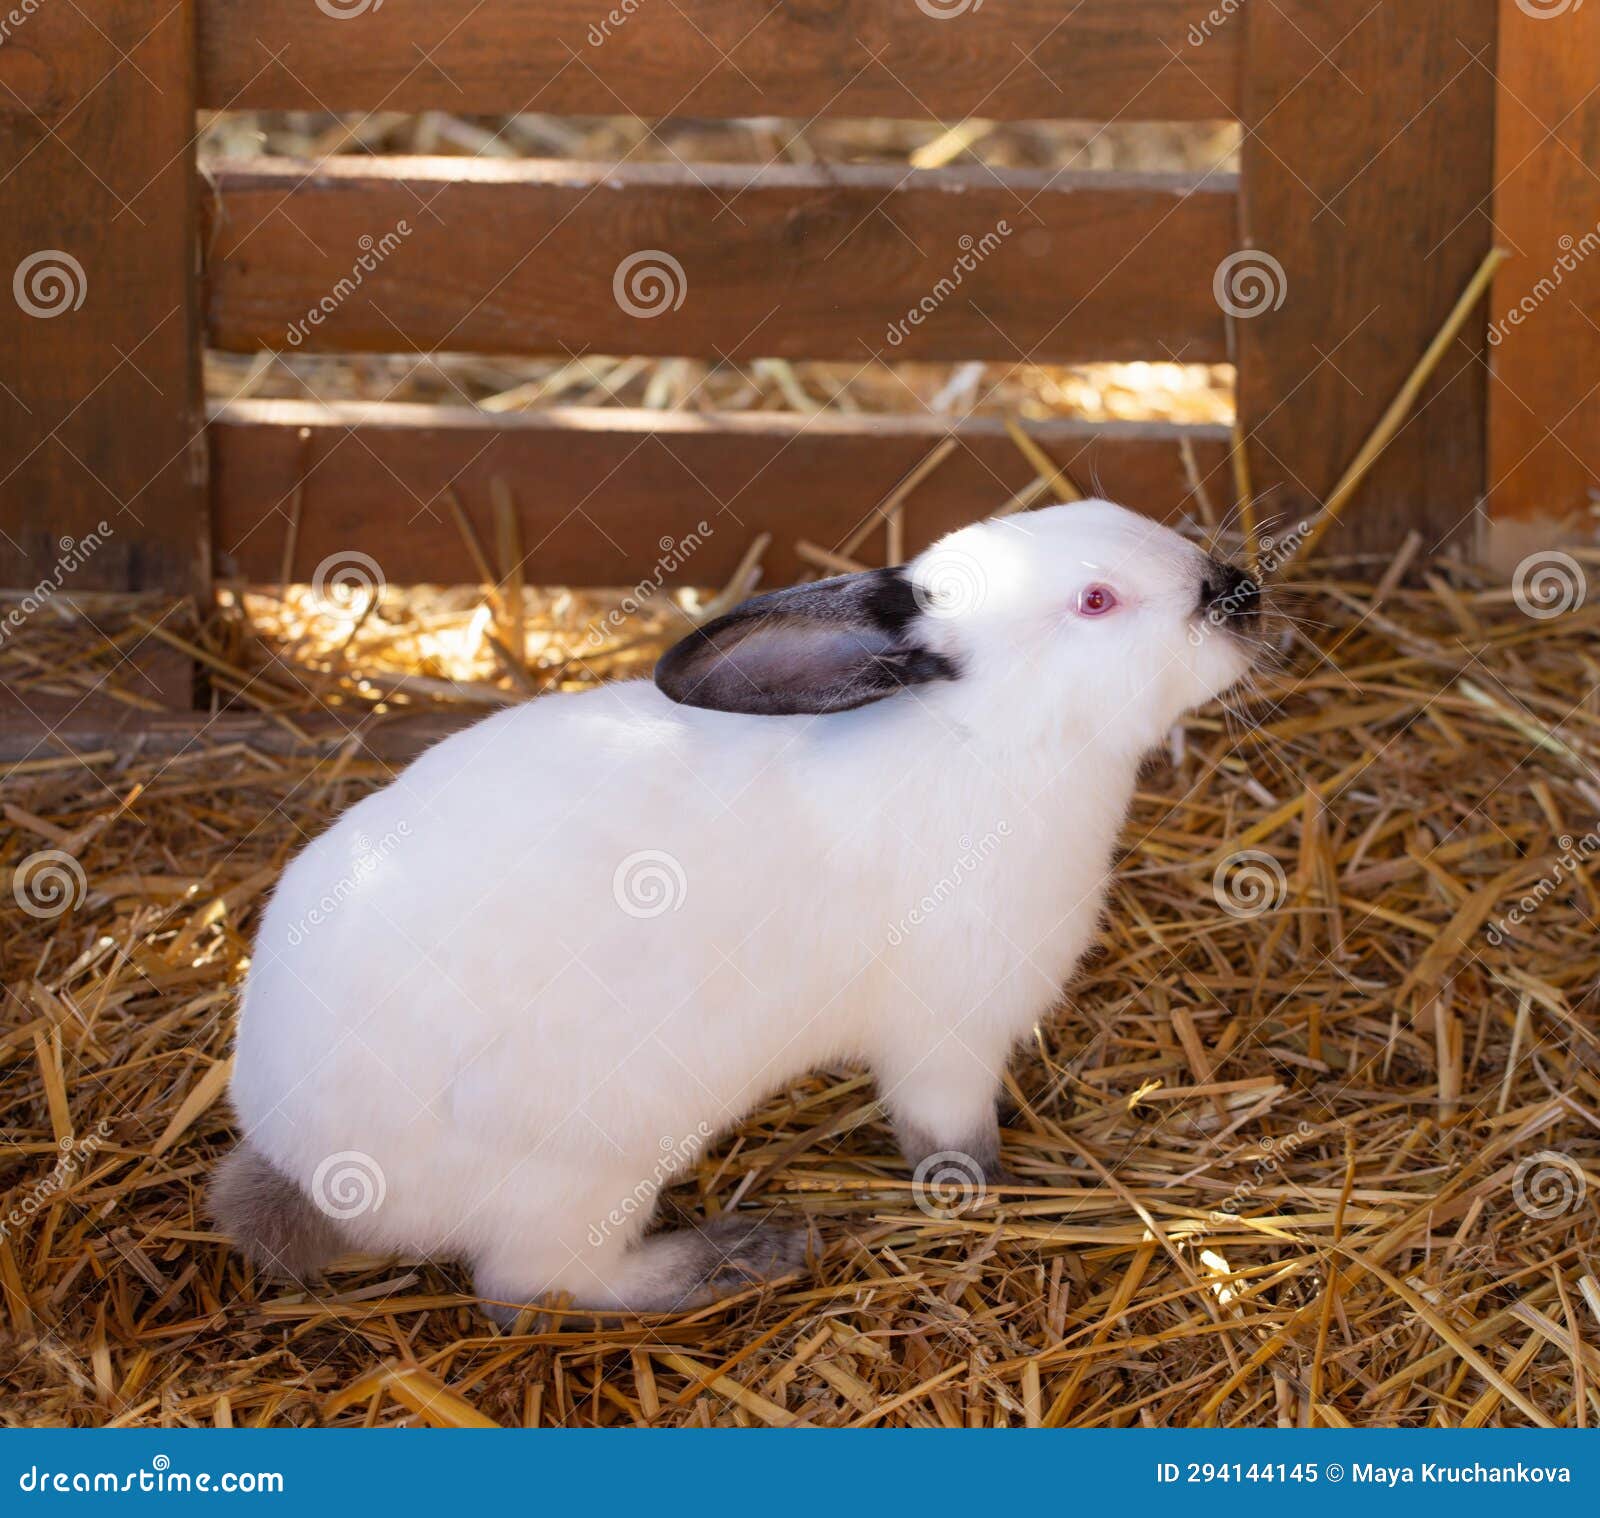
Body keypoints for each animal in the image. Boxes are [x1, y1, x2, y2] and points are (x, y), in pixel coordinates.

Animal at [213, 499, 1261, 1324]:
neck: (995, 744)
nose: (1241, 592)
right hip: (585, 1176)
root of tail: (304, 1164)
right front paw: (992, 1188)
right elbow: (948, 1138)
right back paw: (747, 1254)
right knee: (532, 1289)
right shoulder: (946, 1038)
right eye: (1097, 602)